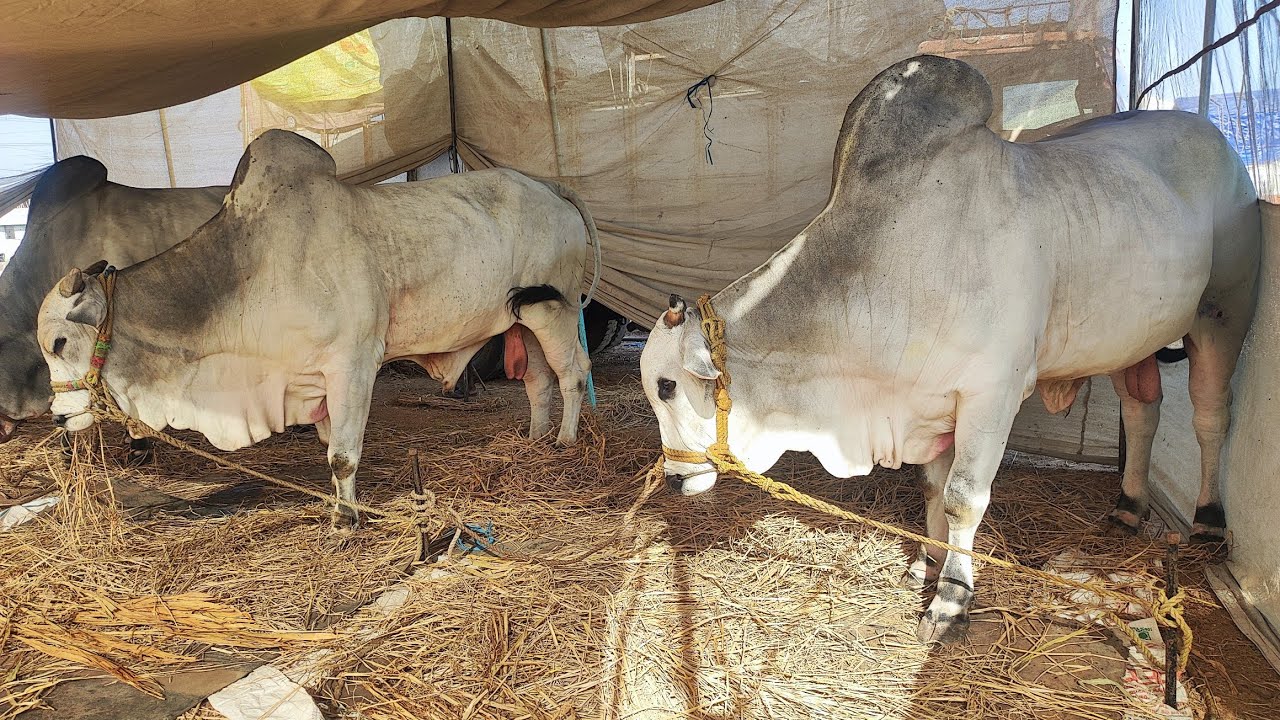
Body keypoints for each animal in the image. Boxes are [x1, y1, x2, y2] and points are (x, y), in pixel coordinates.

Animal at [37, 130, 594, 529]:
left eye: (60, 342)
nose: (59, 417)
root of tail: (551, 187)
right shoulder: (313, 381)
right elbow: (331, 449)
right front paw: (340, 505)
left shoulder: (353, 364)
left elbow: (342, 455)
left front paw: (346, 518)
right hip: (525, 321)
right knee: (539, 382)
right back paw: (535, 440)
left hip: (556, 312)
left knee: (572, 373)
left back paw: (565, 444)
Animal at [641, 56, 1261, 644]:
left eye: (667, 386)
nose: (673, 480)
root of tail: (1216, 139)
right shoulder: (932, 397)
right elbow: (932, 487)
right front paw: (928, 562)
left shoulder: (992, 392)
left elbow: (964, 495)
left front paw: (951, 600)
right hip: (1132, 339)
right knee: (1141, 409)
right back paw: (1129, 505)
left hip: (1221, 313)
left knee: (1211, 414)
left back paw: (1208, 519)